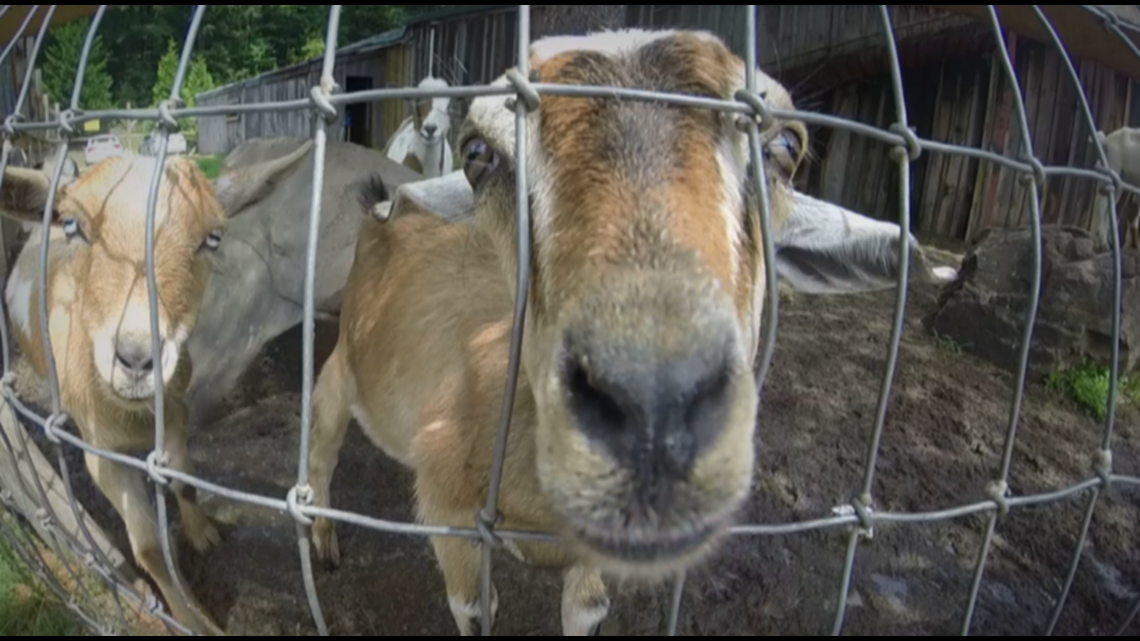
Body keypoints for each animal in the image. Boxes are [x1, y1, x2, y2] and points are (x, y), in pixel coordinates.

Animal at [0, 148, 307, 635]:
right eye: (71, 225)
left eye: (212, 238)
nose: (136, 358)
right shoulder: (101, 454)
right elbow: (147, 548)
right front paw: (193, 620)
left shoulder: (177, 413)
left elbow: (184, 483)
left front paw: (203, 536)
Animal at [307, 29, 929, 635]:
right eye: (478, 152)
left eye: (785, 147)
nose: (656, 405)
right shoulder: (451, 516)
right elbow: (474, 608)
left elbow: (585, 611)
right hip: (337, 378)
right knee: (322, 447)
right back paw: (324, 545)